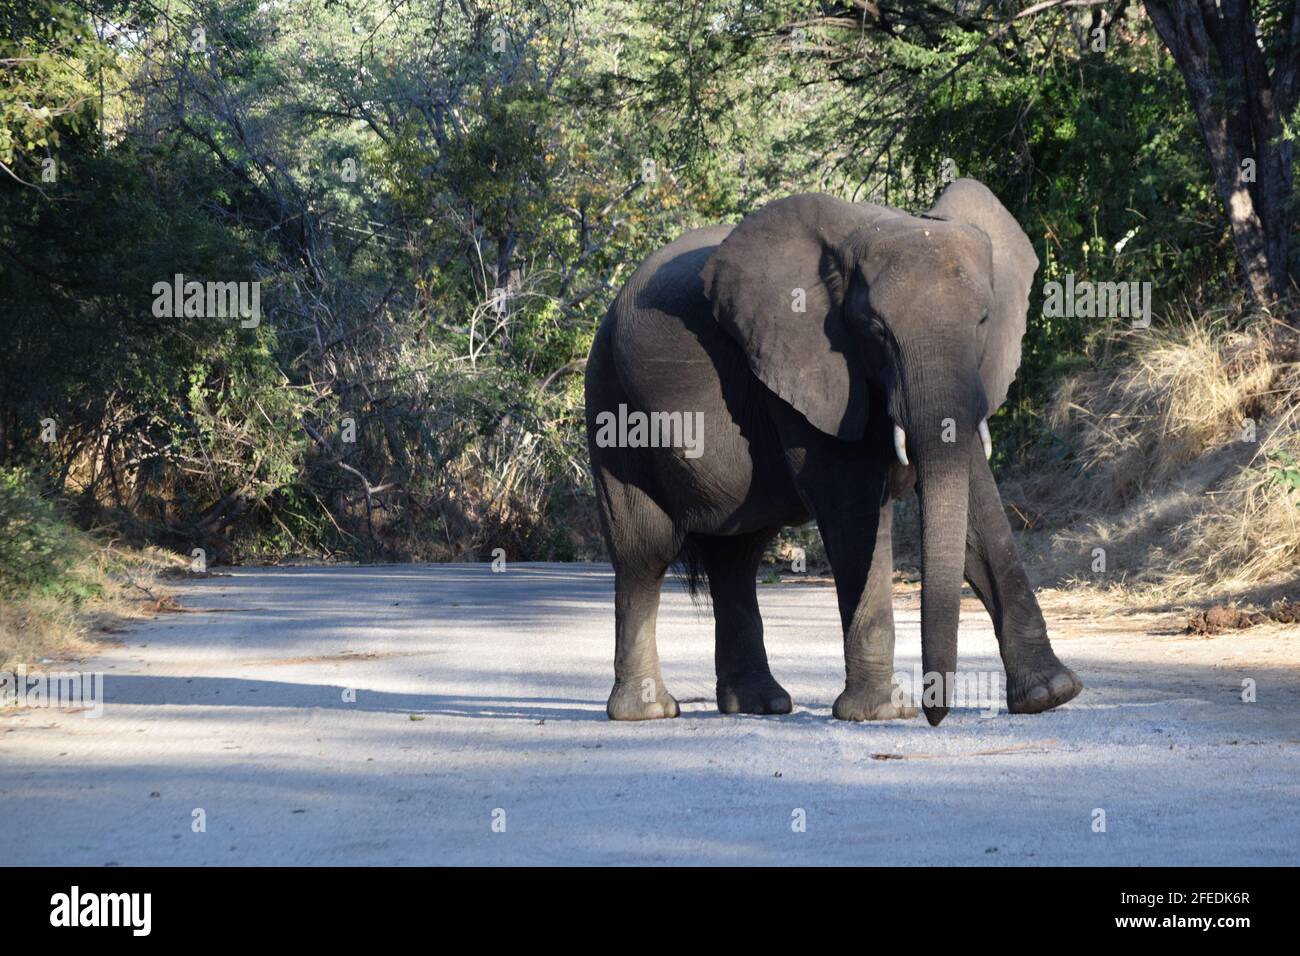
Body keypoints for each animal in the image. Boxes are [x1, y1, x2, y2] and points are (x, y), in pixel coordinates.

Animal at [583, 178, 1082, 726]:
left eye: (984, 320)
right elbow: (851, 505)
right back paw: (648, 712)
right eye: (875, 330)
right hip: (612, 405)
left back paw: (761, 705)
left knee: (736, 558)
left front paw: (1050, 694)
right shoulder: (803, 365)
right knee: (644, 552)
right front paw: (881, 713)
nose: (935, 711)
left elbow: (978, 503)